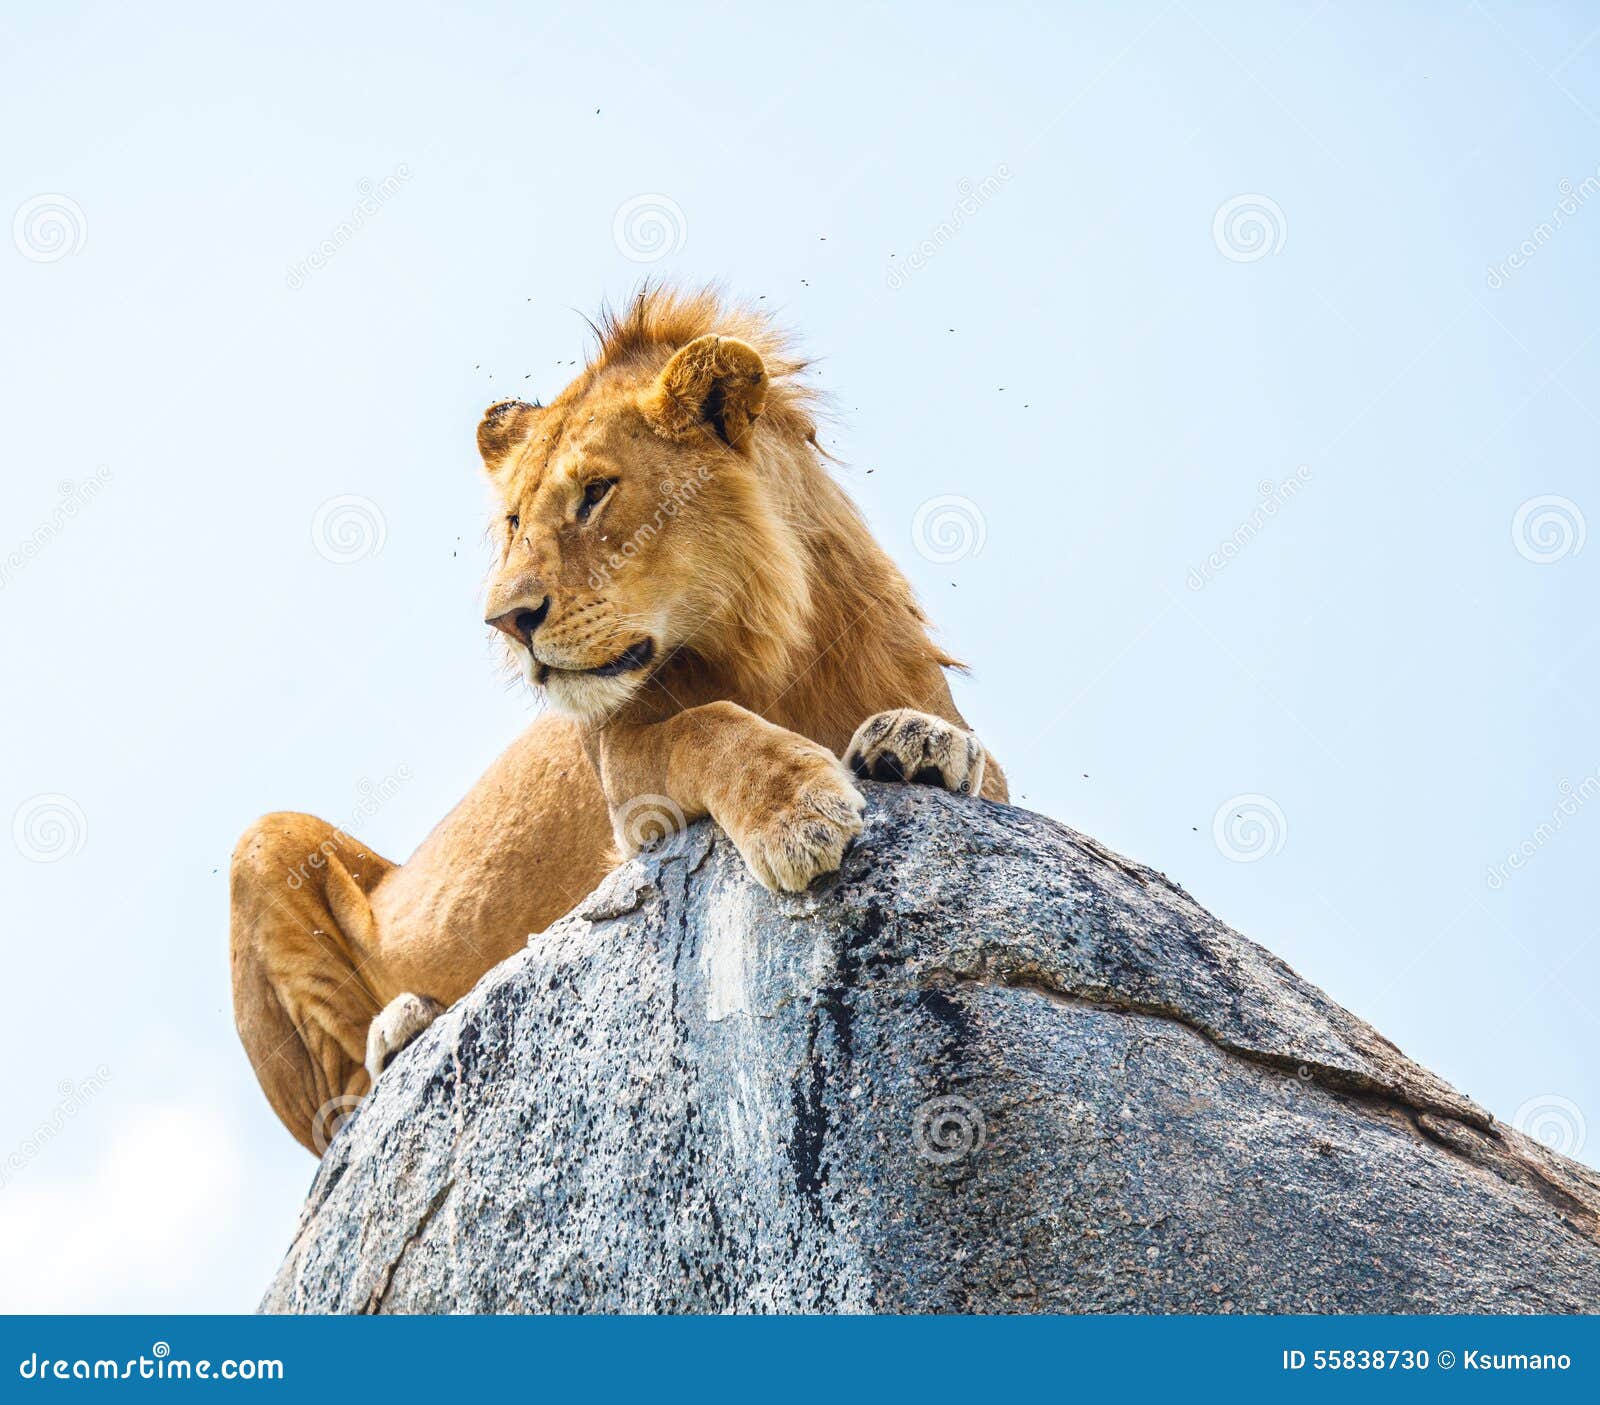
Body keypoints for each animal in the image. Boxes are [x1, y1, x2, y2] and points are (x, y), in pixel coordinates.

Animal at [230, 286, 1007, 1154]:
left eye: (595, 491)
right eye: (513, 520)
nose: (507, 622)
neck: (772, 640)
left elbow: (969, 753)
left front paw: (918, 741)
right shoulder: (626, 792)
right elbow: (706, 727)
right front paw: (794, 809)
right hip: (262, 844)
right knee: (345, 1109)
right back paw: (402, 1022)